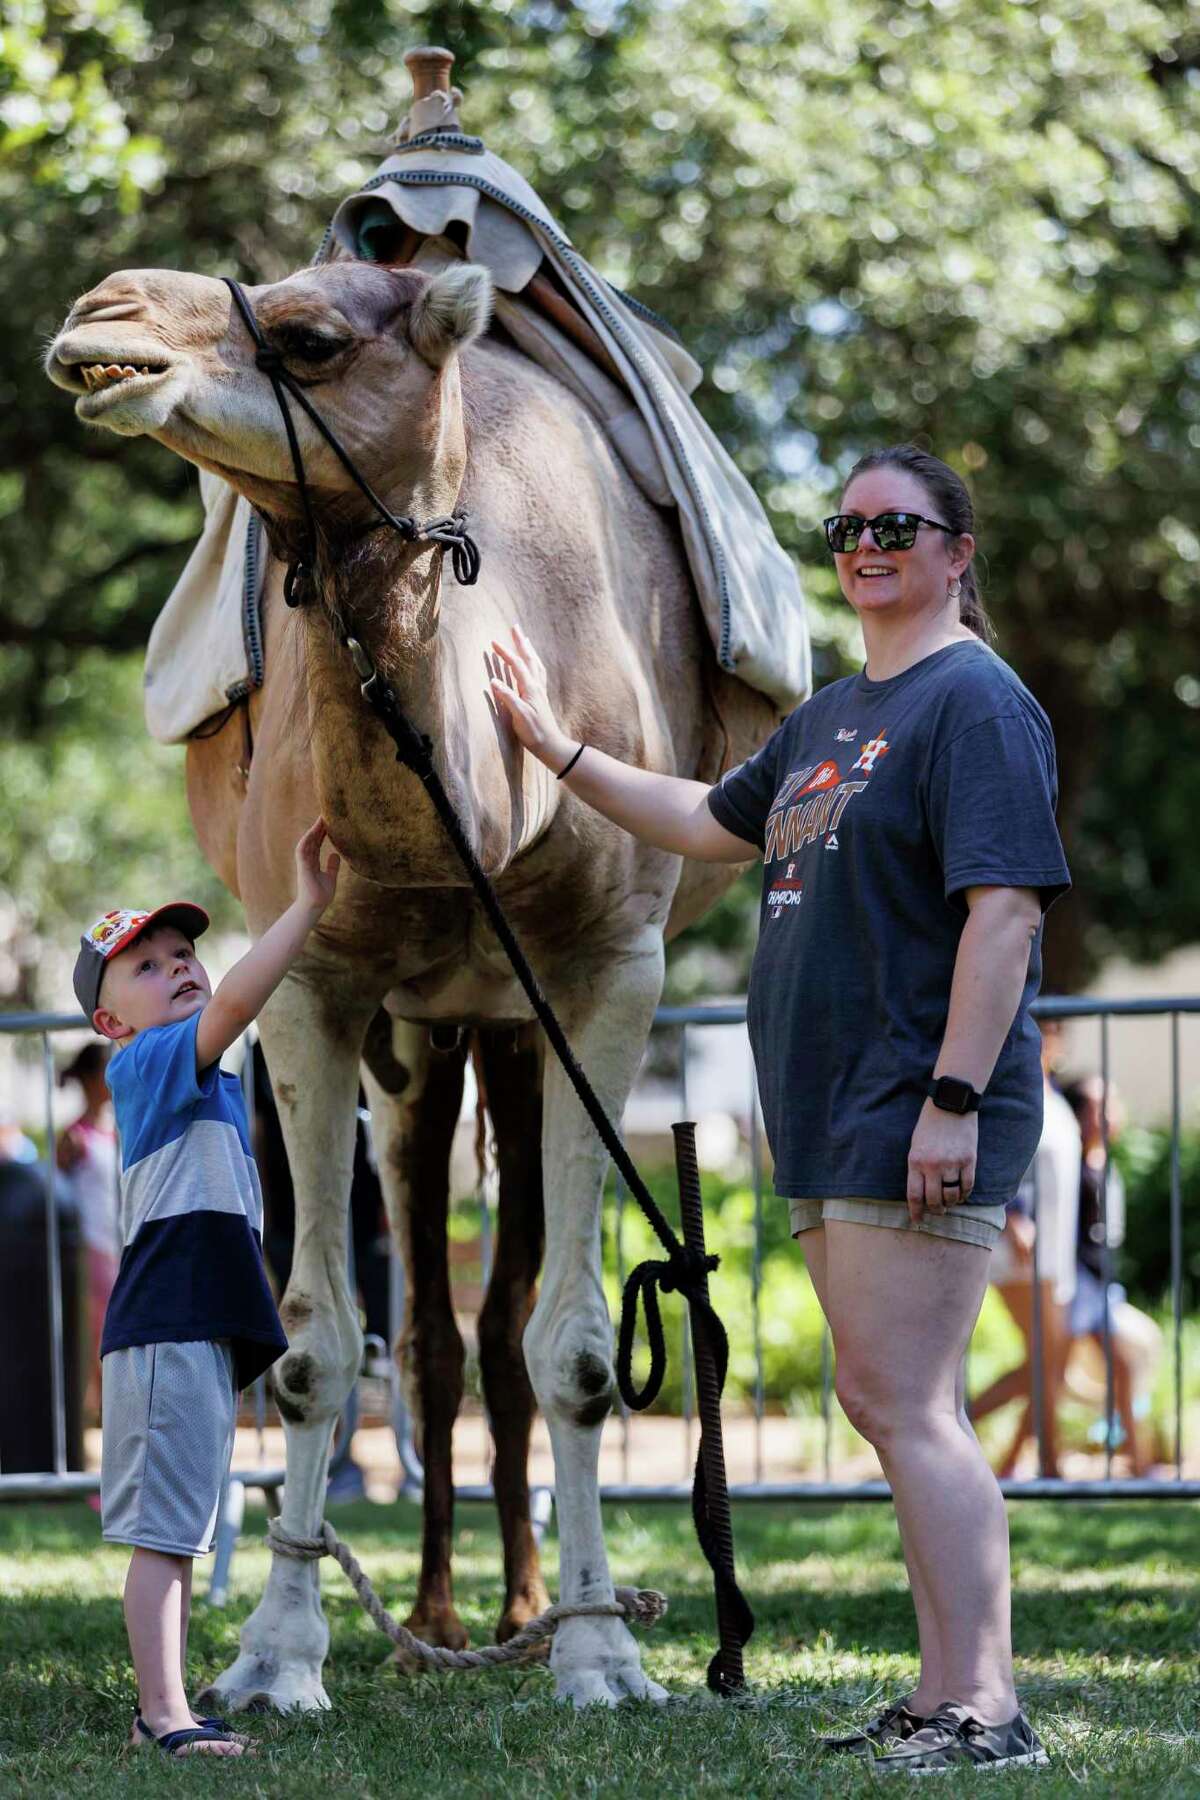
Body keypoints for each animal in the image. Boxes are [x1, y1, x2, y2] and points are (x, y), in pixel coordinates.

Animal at [46, 252, 779, 1709]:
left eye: (311, 336)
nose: (105, 312)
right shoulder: (315, 983)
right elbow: (318, 1346)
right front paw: (276, 1656)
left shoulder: (612, 969)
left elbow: (581, 1349)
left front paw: (605, 1654)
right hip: (422, 1035)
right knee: (438, 1335)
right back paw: (437, 1615)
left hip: (510, 1025)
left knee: (499, 1325)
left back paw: (527, 1606)